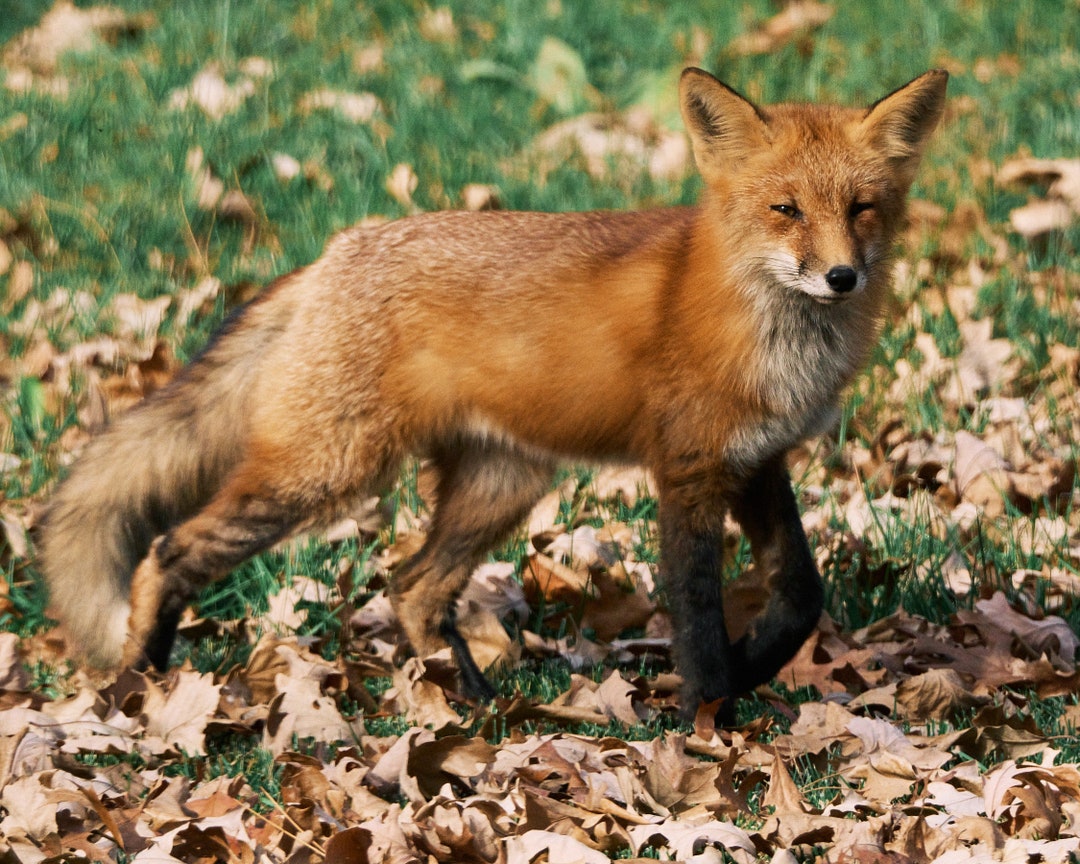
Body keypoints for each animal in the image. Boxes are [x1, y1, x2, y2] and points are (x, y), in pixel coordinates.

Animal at [38, 67, 947, 721]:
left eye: (862, 208)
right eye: (785, 209)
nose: (841, 276)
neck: (765, 331)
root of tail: (331, 255)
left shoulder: (757, 461)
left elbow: (800, 593)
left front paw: (757, 666)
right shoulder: (688, 472)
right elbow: (696, 618)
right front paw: (710, 719)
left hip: (500, 486)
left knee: (411, 586)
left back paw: (471, 703)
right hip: (326, 474)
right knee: (169, 550)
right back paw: (141, 678)